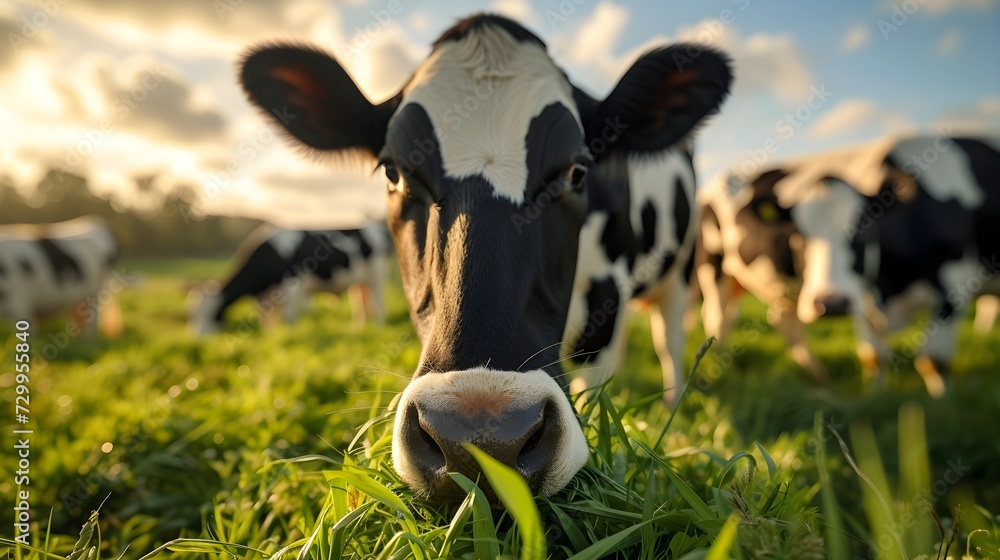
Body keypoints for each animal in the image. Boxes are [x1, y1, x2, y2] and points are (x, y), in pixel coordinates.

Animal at [189, 223, 388, 336]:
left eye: (211, 312)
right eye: (192, 313)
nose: (197, 337)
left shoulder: (291, 285)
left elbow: (288, 318)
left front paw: (289, 339)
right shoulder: (265, 296)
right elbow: (267, 319)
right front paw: (271, 336)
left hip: (377, 274)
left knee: (378, 301)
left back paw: (379, 326)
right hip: (359, 281)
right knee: (361, 302)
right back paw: (360, 327)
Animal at [239, 14, 731, 500]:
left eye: (576, 171)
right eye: (394, 171)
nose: (482, 441)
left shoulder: (606, 296)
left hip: (681, 268)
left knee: (669, 337)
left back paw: (672, 401)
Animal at [696, 134, 1000, 396]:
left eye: (863, 230)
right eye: (799, 236)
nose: (831, 304)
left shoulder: (950, 293)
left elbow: (929, 362)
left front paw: (934, 406)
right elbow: (877, 357)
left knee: (780, 320)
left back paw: (817, 375)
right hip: (714, 270)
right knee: (717, 318)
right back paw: (719, 369)